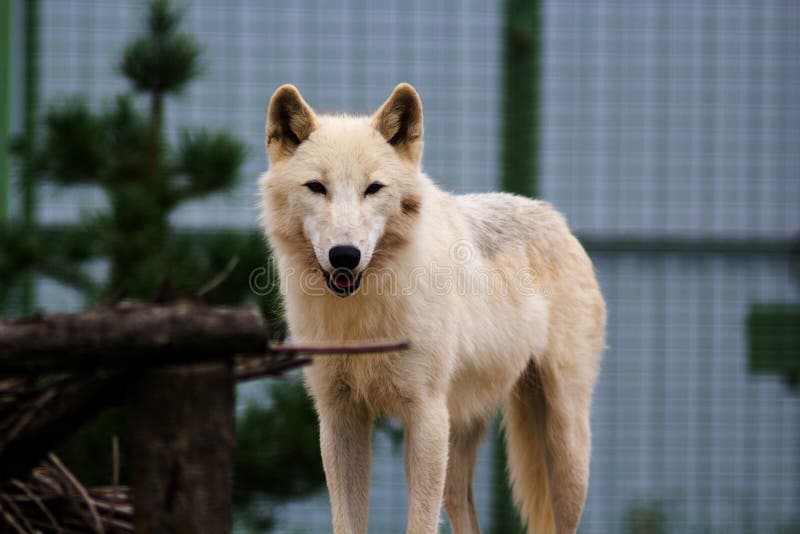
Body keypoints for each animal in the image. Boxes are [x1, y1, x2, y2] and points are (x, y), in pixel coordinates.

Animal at [259, 83, 605, 534]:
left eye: (374, 188)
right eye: (317, 187)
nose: (345, 255)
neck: (363, 316)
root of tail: (556, 217)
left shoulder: (423, 415)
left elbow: (420, 523)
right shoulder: (340, 418)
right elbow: (347, 521)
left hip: (563, 445)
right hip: (457, 453)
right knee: (467, 514)